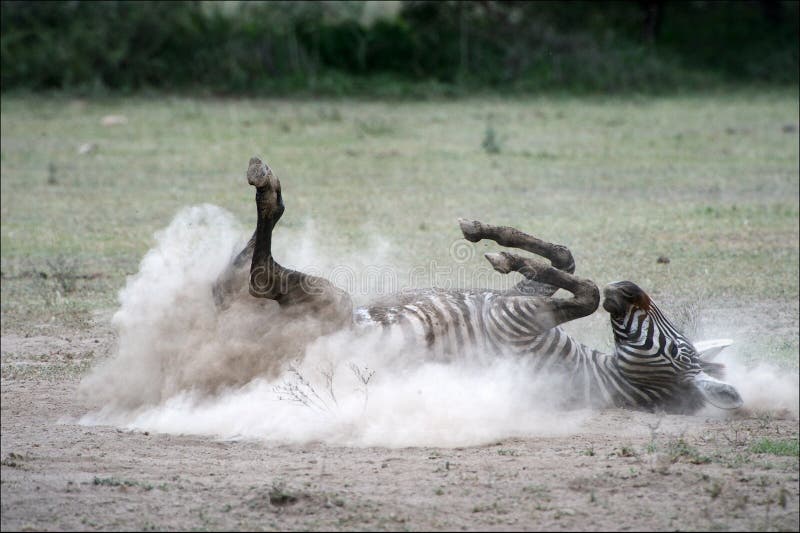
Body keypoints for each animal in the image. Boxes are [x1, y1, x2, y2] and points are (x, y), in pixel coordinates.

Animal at [213, 157, 742, 414]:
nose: (629, 287)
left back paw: (267, 188)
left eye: (676, 352)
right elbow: (566, 259)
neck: (593, 372)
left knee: (260, 276)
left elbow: (588, 291)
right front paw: (497, 243)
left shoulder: (514, 320)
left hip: (332, 306)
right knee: (229, 282)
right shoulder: (516, 303)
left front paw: (504, 254)